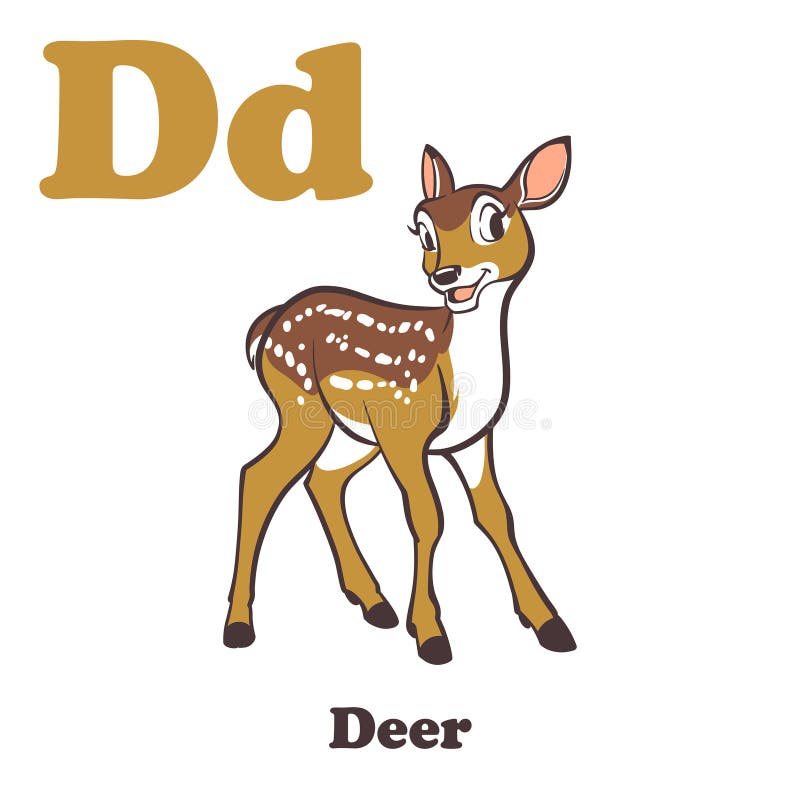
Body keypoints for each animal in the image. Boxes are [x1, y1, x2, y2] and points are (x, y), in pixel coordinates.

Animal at [224, 136, 576, 664]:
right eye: (423, 231)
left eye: (494, 221)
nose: (447, 275)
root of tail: (268, 325)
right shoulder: (406, 431)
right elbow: (428, 517)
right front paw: (431, 635)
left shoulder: (471, 440)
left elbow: (497, 515)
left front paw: (549, 623)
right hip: (303, 406)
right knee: (260, 476)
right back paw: (239, 625)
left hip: (354, 432)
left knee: (322, 480)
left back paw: (374, 602)